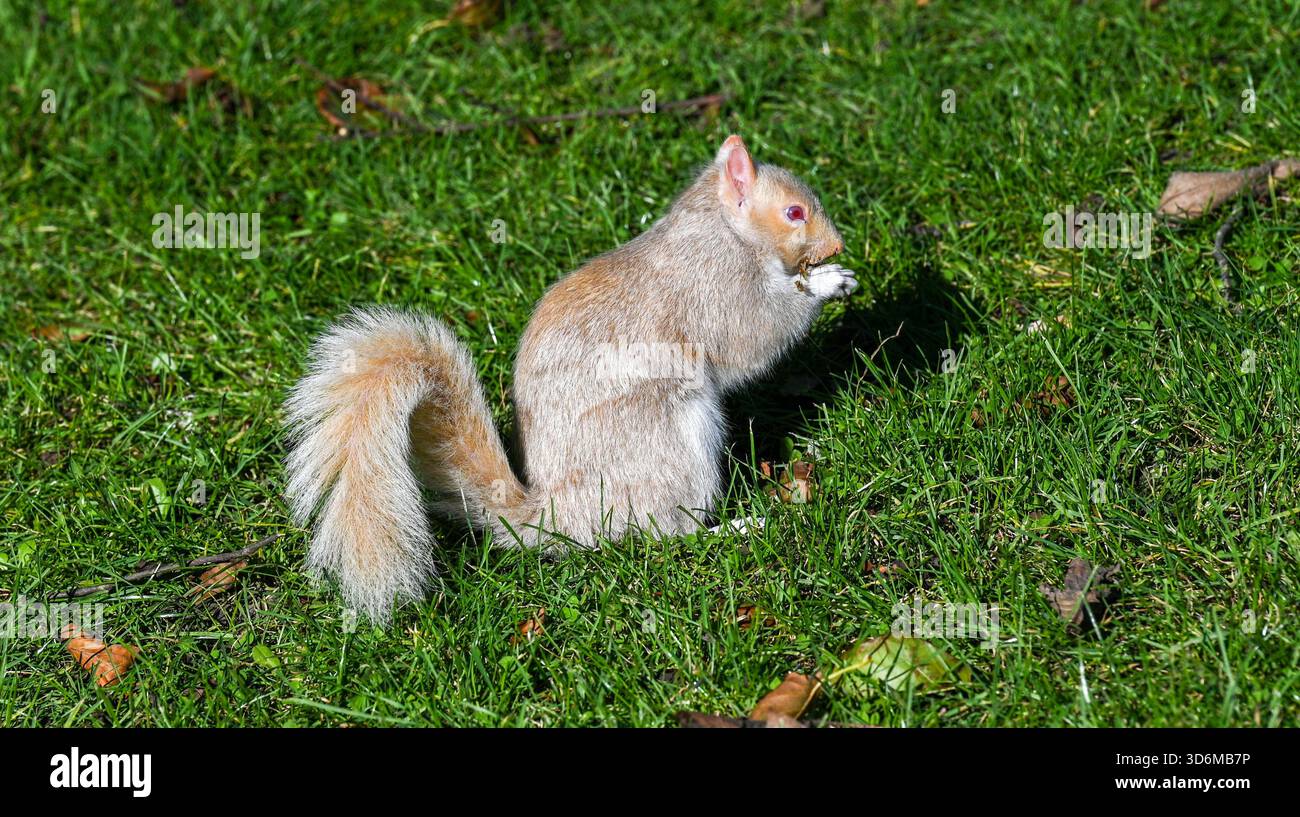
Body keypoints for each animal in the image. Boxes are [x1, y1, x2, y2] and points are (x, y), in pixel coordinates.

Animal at [284, 135, 856, 622]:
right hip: (671, 439)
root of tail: (558, 516)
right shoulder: (717, 288)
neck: (720, 226)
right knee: (667, 533)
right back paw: (736, 526)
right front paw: (825, 284)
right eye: (794, 212)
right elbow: (756, 335)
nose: (836, 246)